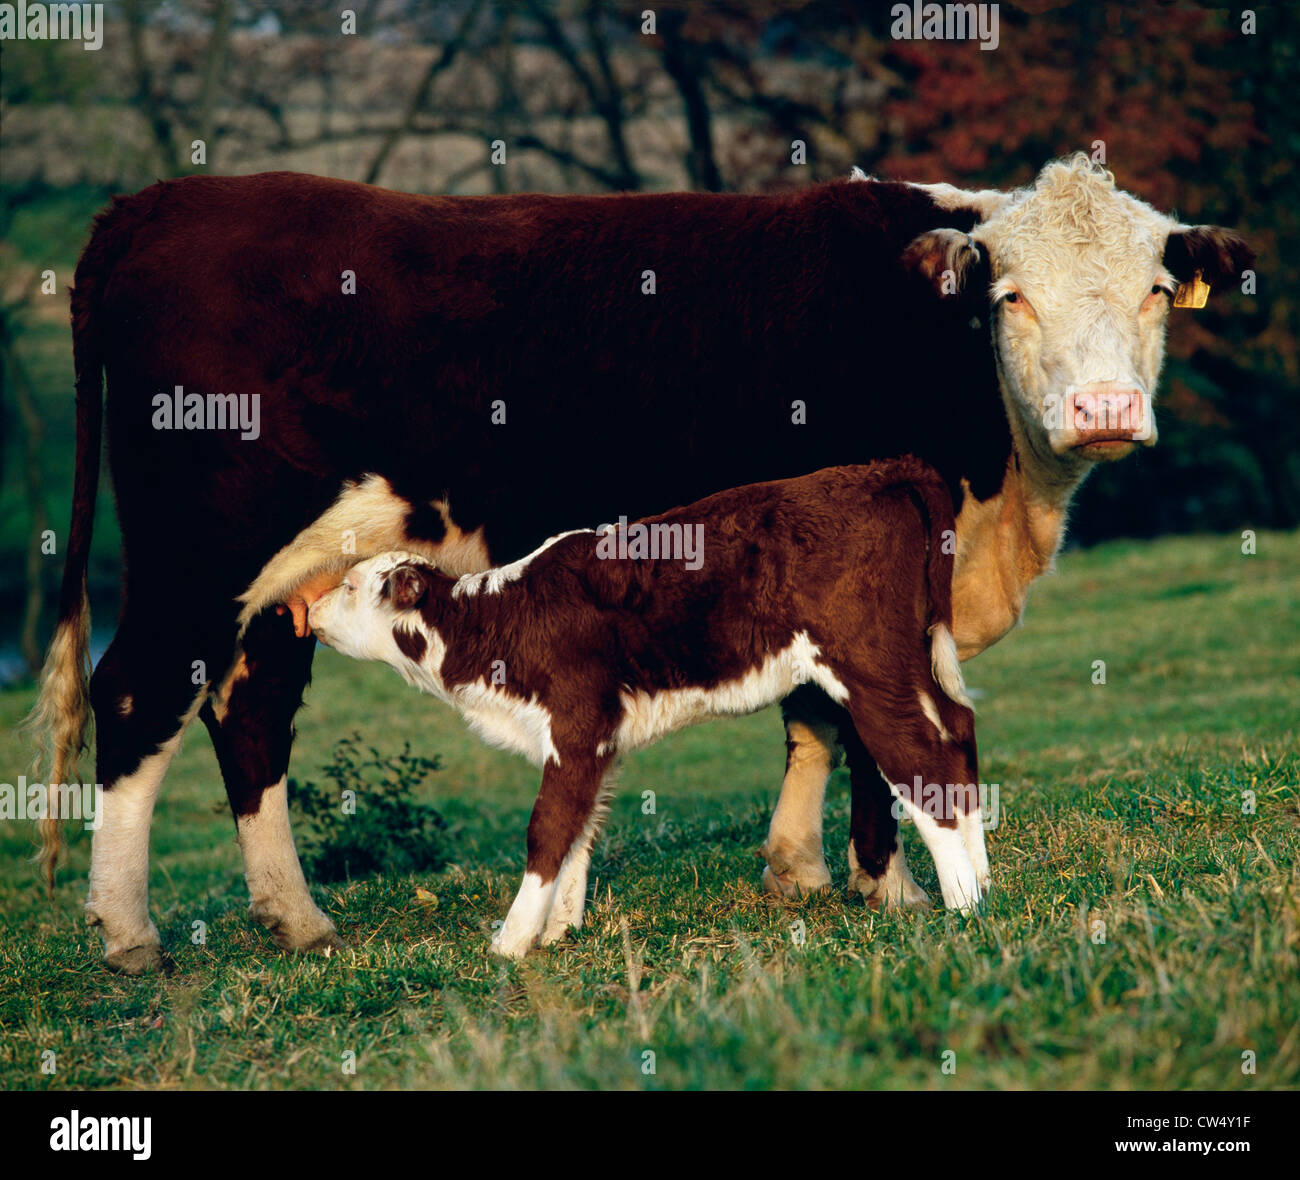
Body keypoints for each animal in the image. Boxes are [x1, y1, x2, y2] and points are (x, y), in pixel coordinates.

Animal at [308, 460, 983, 959]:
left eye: (350, 586)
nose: (309, 609)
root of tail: (880, 468)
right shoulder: (597, 741)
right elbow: (579, 829)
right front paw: (561, 929)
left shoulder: (575, 726)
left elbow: (547, 828)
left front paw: (512, 941)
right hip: (913, 660)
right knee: (958, 735)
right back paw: (984, 883)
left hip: (868, 668)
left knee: (922, 760)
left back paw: (964, 905)